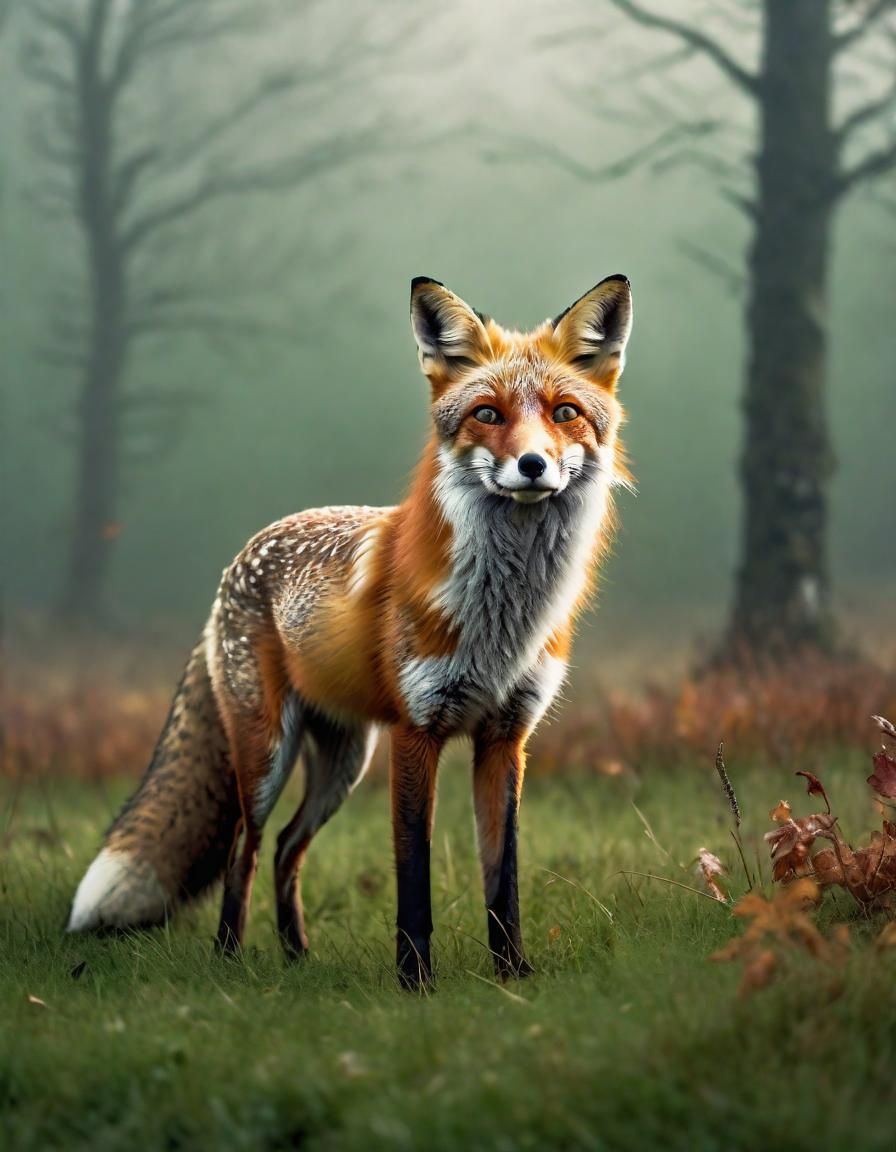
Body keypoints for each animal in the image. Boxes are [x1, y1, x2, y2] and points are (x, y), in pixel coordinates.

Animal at [68, 274, 634, 987]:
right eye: (487, 414)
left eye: (564, 413)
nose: (534, 464)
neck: (503, 619)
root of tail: (240, 557)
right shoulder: (417, 732)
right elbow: (413, 878)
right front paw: (416, 983)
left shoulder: (506, 738)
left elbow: (502, 878)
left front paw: (512, 977)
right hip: (267, 754)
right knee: (243, 850)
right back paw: (229, 960)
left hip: (343, 761)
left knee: (287, 848)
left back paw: (297, 956)